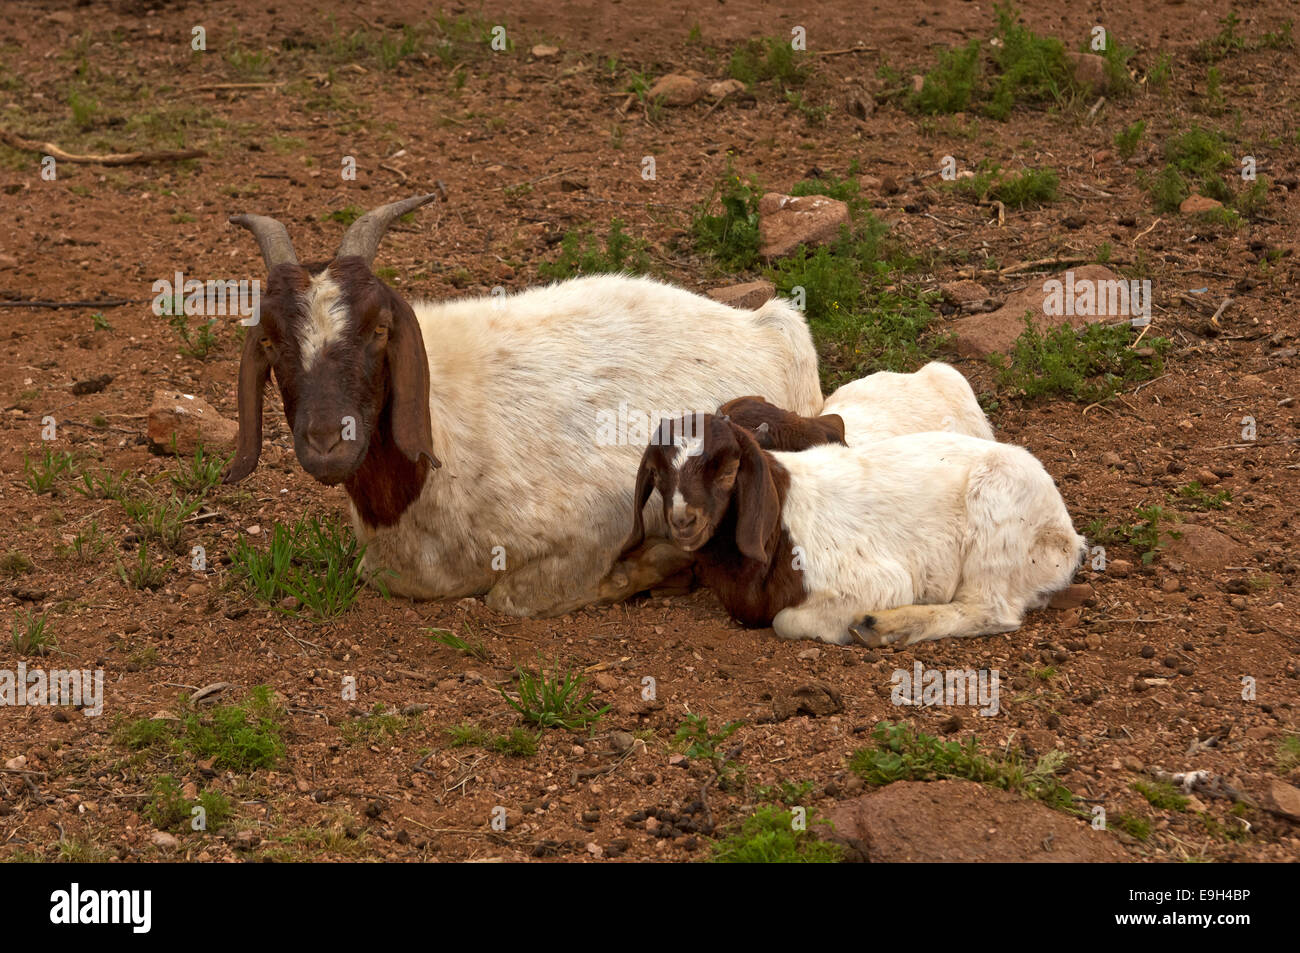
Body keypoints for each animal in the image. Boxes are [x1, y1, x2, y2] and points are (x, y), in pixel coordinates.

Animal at [224, 195, 823, 617]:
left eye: (379, 330)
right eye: (271, 342)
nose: (327, 442)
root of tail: (763, 324)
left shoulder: (592, 525)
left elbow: (512, 598)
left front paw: (657, 567)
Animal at [615, 414, 1084, 646]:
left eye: (728, 468)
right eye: (658, 474)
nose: (683, 519)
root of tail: (1066, 537)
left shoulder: (875, 581)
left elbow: (785, 621)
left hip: (997, 520)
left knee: (989, 609)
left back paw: (886, 627)